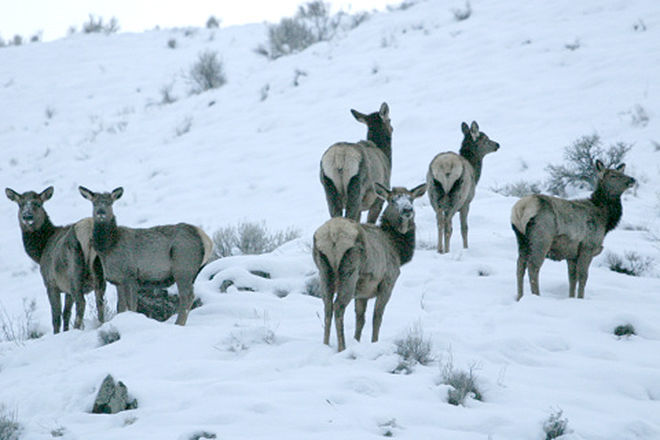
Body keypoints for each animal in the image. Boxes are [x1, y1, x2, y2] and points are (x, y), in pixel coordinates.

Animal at [5, 187, 106, 333]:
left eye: (38, 203)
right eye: (20, 204)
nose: (27, 216)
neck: (40, 251)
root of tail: (88, 233)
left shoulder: (51, 283)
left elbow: (56, 316)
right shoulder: (66, 289)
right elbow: (66, 313)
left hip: (74, 270)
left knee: (81, 303)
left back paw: (77, 329)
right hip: (99, 272)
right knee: (100, 301)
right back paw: (101, 323)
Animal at [78, 186, 213, 326]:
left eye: (110, 202)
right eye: (94, 203)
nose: (101, 212)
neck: (108, 249)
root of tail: (207, 240)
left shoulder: (130, 275)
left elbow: (132, 305)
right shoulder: (117, 280)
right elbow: (120, 307)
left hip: (183, 267)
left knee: (187, 296)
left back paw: (178, 323)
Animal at [313, 182, 427, 352]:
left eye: (411, 199)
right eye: (393, 200)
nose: (407, 210)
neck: (397, 250)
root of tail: (331, 234)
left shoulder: (362, 292)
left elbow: (360, 318)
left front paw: (357, 340)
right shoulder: (388, 280)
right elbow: (377, 317)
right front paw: (374, 342)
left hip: (324, 270)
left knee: (327, 306)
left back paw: (326, 344)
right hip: (350, 269)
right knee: (338, 306)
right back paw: (342, 347)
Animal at [426, 121, 500, 253]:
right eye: (486, 139)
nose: (497, 145)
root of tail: (445, 166)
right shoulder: (467, 202)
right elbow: (464, 228)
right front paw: (466, 248)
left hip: (433, 195)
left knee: (439, 223)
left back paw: (440, 250)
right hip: (457, 196)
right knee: (448, 225)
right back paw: (447, 251)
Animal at [511, 160, 636, 300]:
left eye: (622, 173)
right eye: (613, 175)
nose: (632, 179)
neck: (605, 220)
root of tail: (521, 209)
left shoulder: (571, 254)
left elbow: (572, 278)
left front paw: (571, 298)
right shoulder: (587, 246)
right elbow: (582, 276)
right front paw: (580, 298)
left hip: (521, 238)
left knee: (520, 266)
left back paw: (519, 297)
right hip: (542, 238)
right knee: (533, 266)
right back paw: (536, 295)